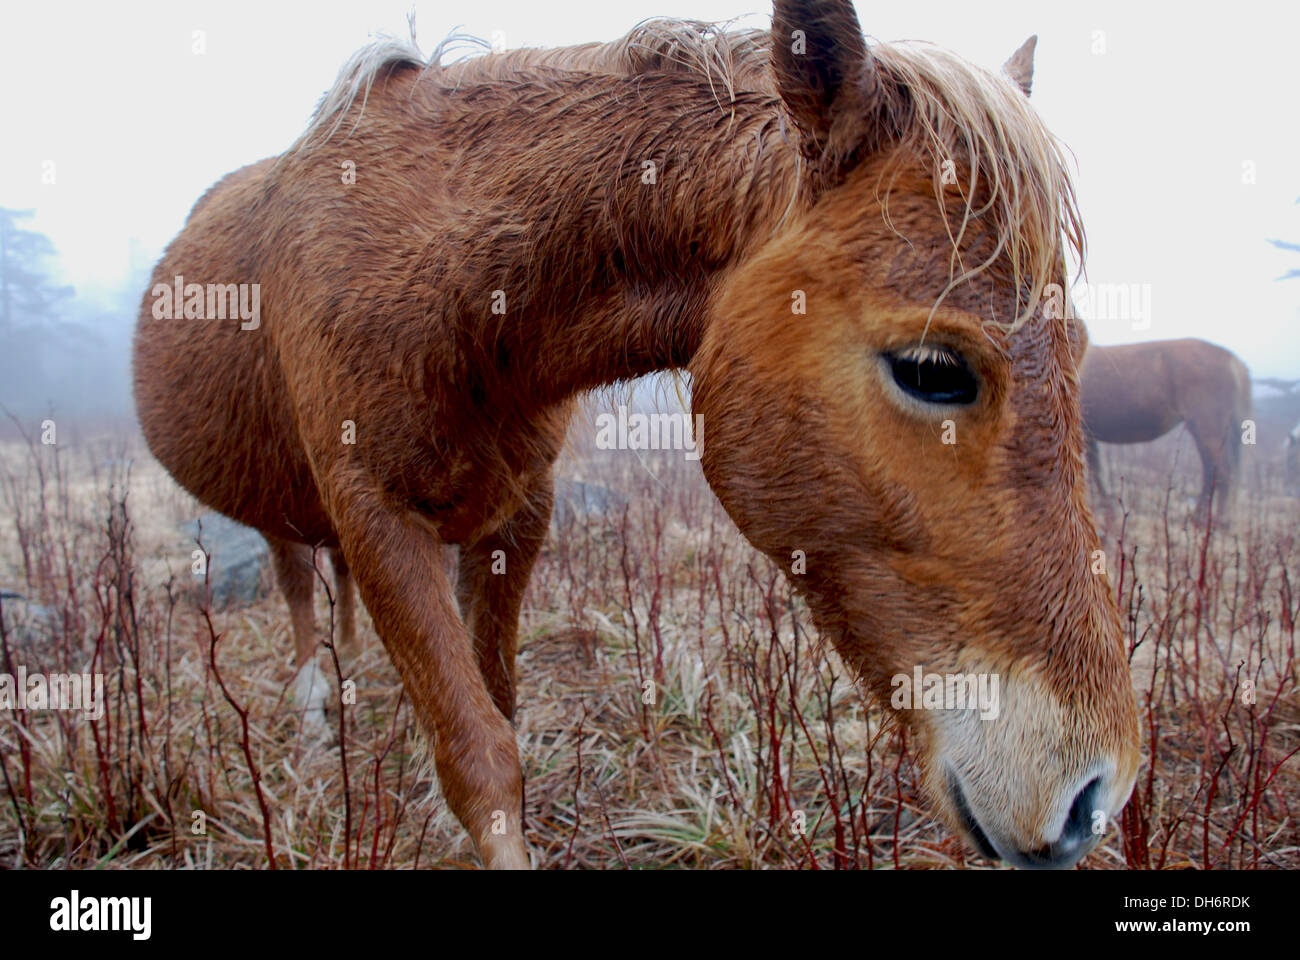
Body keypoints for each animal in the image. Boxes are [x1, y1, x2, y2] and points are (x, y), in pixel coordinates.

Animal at [132, 0, 1140, 869]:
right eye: (934, 370)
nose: (1095, 797)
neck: (446, 286)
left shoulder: (515, 521)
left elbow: (496, 711)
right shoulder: (381, 520)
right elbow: (479, 761)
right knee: (297, 578)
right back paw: (313, 703)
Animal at [1080, 338, 1252, 525]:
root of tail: (1233, 360)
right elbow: (1098, 471)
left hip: (1208, 428)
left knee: (1222, 474)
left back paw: (1213, 521)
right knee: (1212, 472)